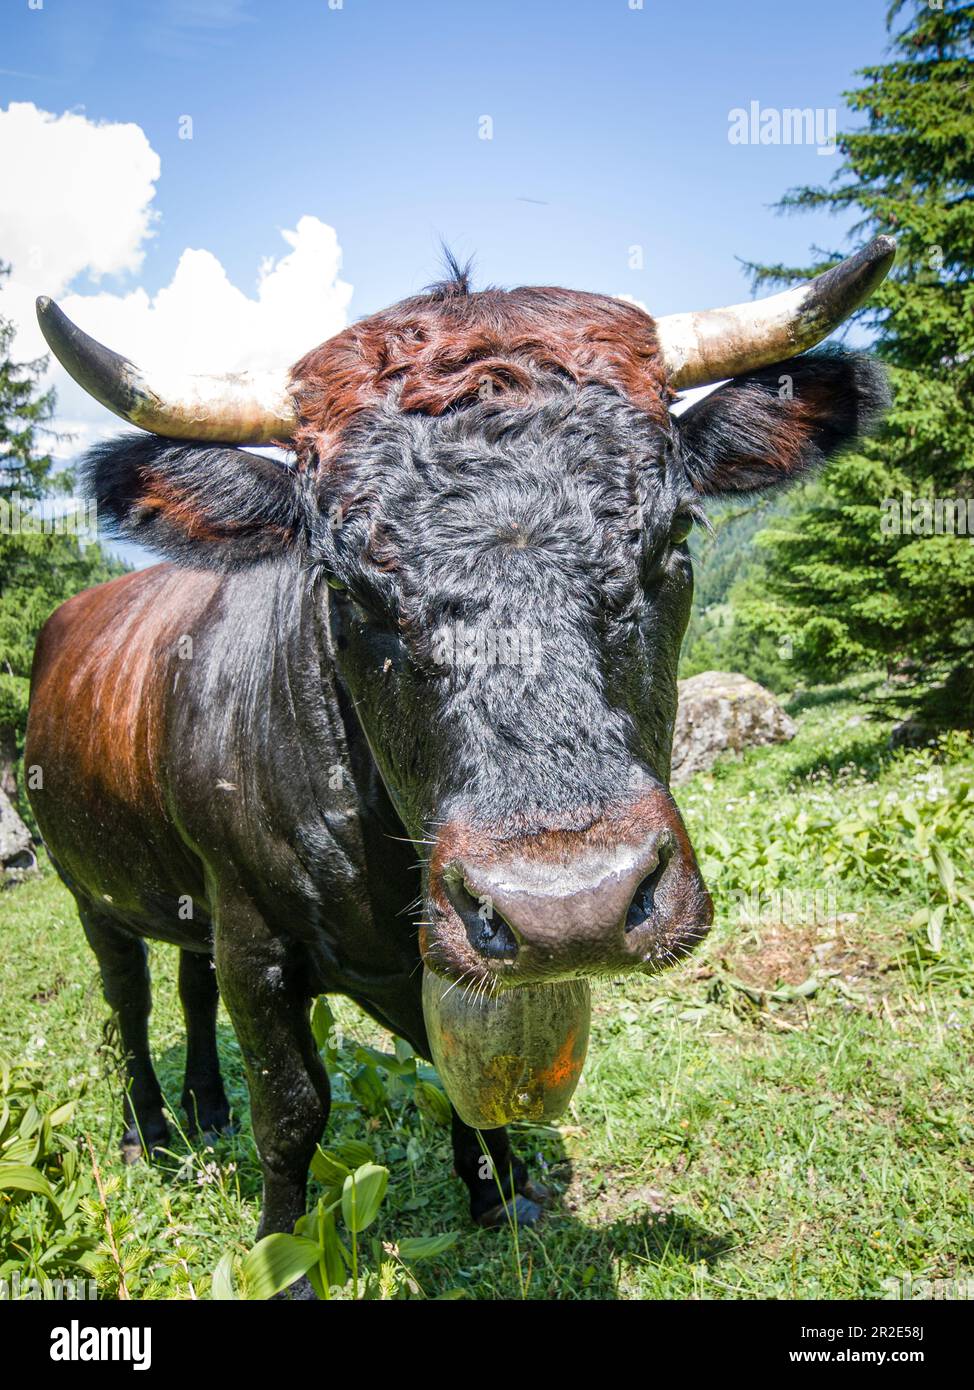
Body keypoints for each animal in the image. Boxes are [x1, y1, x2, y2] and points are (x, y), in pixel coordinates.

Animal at [26, 238, 894, 1251]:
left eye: (674, 532)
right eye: (341, 583)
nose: (572, 907)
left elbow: (463, 1076)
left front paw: (500, 1188)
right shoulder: (254, 940)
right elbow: (291, 1111)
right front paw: (283, 1250)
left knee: (187, 982)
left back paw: (205, 1108)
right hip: (90, 888)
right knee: (128, 997)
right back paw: (150, 1129)